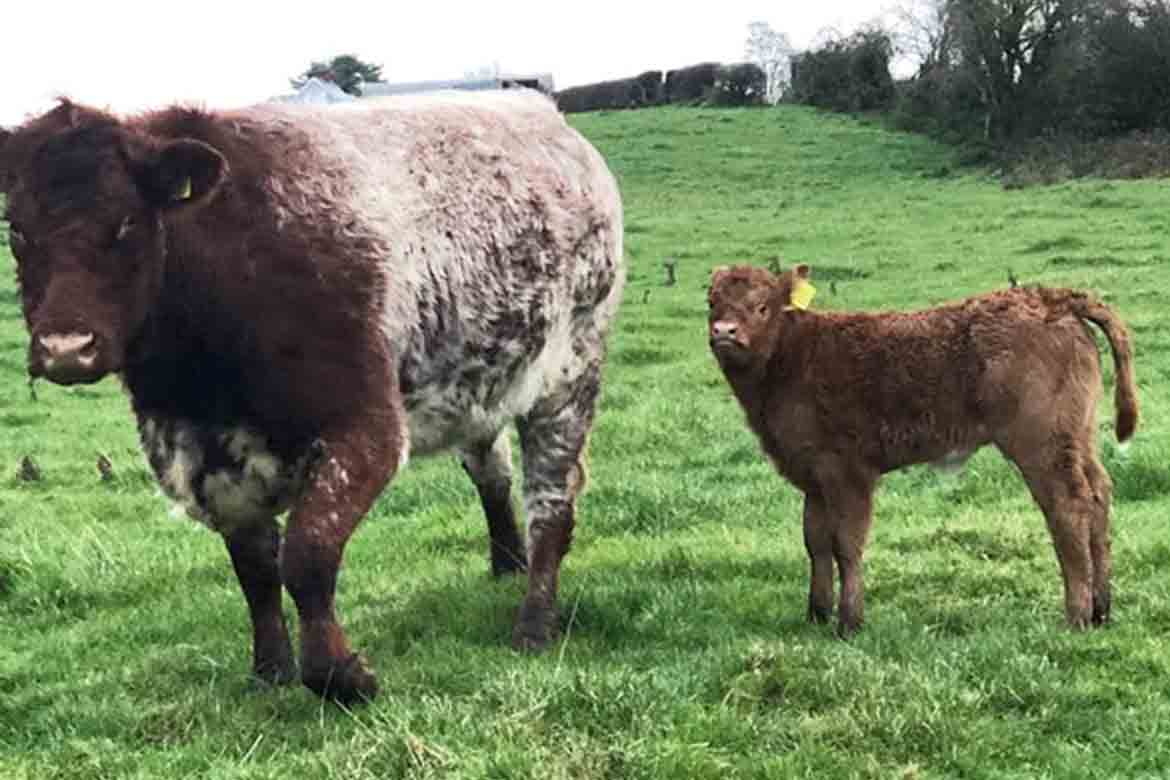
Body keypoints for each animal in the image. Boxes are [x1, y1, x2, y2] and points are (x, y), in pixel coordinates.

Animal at [0, 90, 625, 703]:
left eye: (127, 221)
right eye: (17, 230)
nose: (65, 349)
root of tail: (543, 113)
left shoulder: (367, 430)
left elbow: (307, 553)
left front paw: (341, 674)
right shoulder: (207, 458)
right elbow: (255, 569)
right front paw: (270, 670)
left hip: (569, 373)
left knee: (552, 503)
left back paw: (535, 620)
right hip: (480, 382)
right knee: (492, 475)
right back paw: (506, 564)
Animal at [707, 264, 1138, 637]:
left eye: (761, 306)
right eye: (711, 301)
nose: (724, 331)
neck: (790, 359)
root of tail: (1050, 297)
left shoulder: (846, 472)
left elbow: (846, 543)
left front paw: (849, 621)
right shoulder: (812, 476)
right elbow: (815, 542)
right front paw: (817, 613)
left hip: (1041, 443)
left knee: (1067, 508)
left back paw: (1077, 615)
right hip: (1078, 437)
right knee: (1098, 495)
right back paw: (1102, 608)